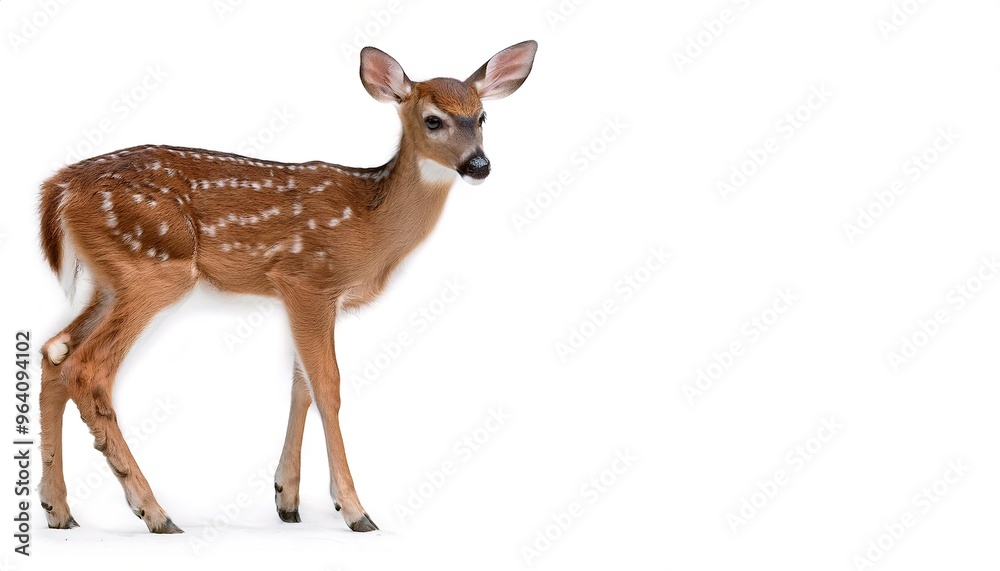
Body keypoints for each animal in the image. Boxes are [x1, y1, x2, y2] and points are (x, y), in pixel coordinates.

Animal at [36, 40, 537, 534]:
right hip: (155, 267)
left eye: (482, 117)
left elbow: (301, 388)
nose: (479, 165)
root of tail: (59, 188)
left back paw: (58, 510)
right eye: (434, 119)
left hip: (109, 280)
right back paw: (154, 513)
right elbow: (328, 386)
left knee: (52, 352)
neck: (370, 225)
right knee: (86, 367)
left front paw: (287, 500)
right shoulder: (308, 280)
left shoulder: (304, 298)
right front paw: (354, 509)